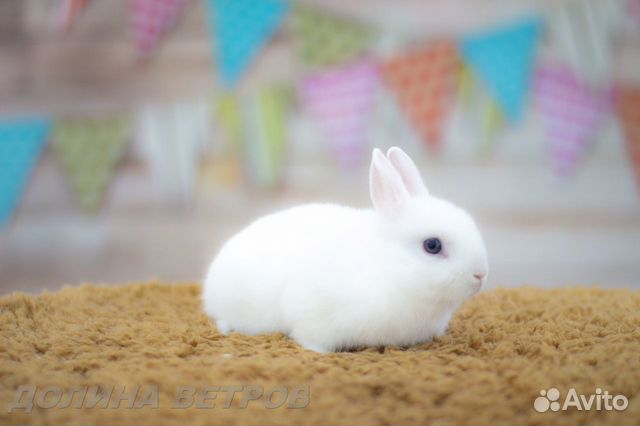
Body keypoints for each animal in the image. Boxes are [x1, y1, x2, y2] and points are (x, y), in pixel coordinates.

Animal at [203, 147, 488, 353]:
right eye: (432, 245)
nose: (481, 275)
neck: (388, 267)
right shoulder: (313, 311)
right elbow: (309, 338)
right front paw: (320, 353)